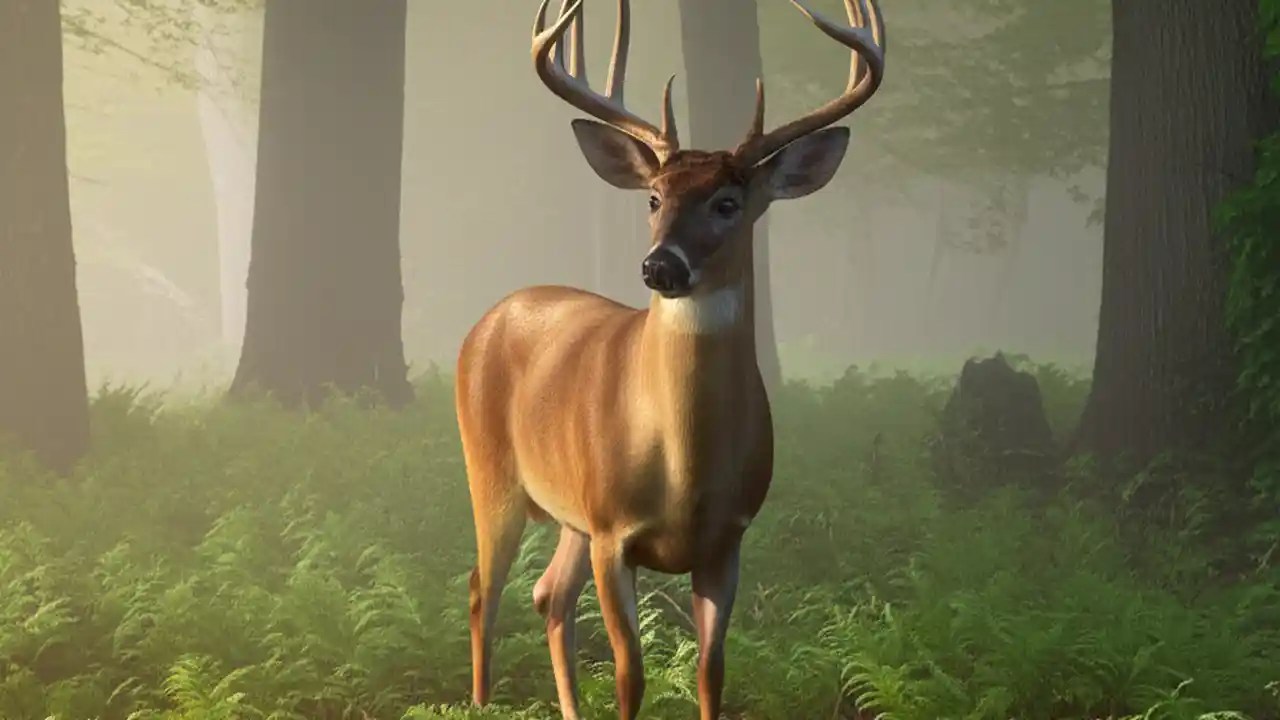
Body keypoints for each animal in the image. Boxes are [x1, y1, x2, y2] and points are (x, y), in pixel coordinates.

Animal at [454, 0, 885, 717]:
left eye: (728, 203)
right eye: (653, 198)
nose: (660, 266)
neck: (685, 469)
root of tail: (489, 317)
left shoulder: (727, 539)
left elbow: (712, 672)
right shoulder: (611, 529)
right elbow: (631, 673)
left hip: (567, 514)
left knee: (548, 596)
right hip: (490, 471)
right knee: (482, 591)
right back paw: (481, 702)